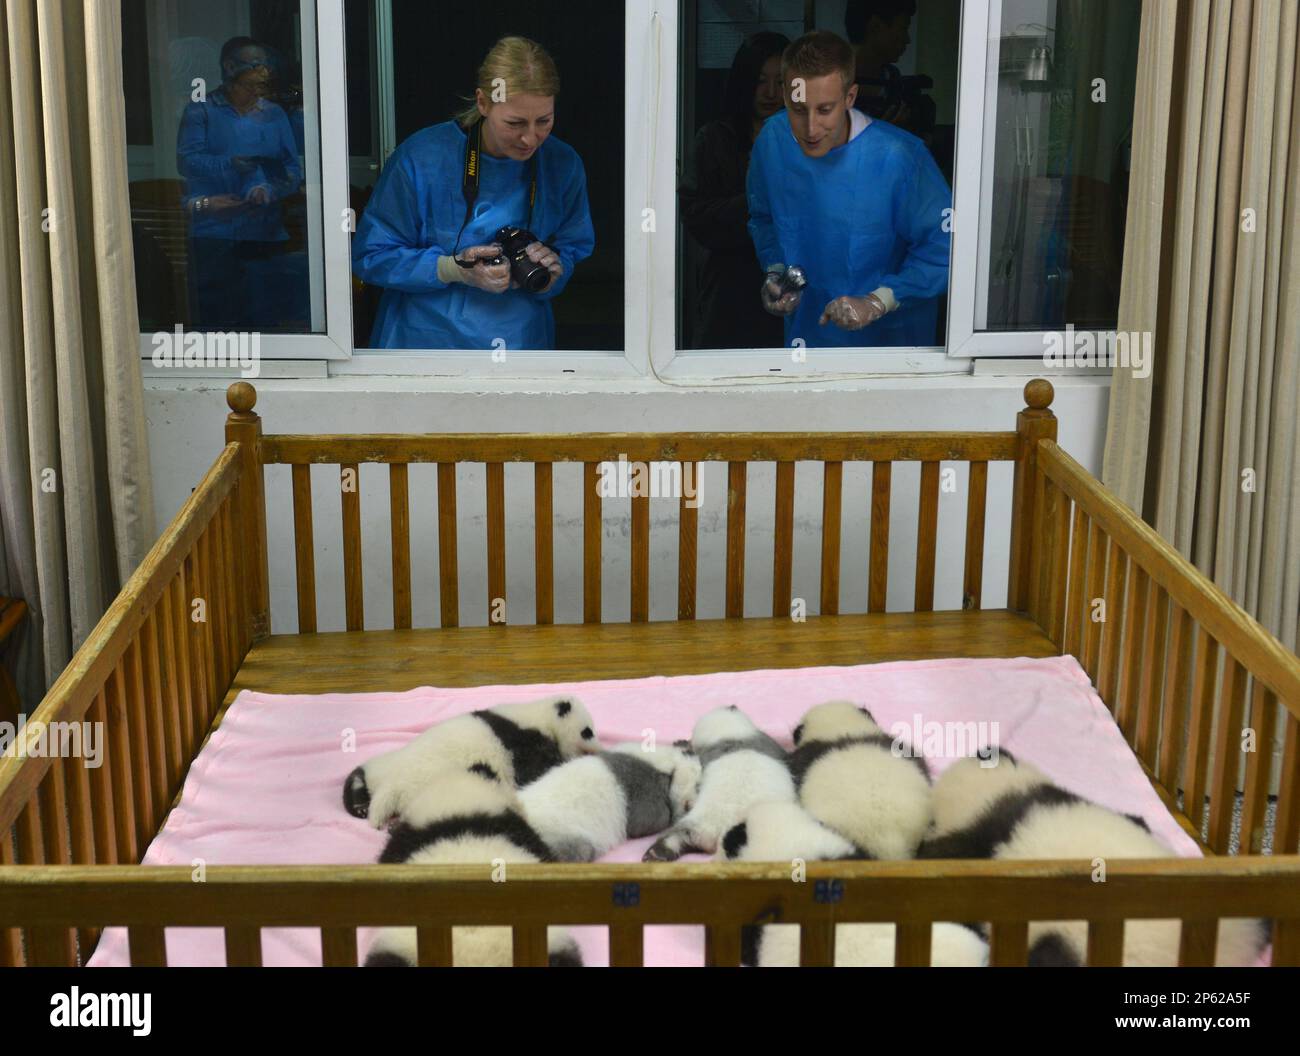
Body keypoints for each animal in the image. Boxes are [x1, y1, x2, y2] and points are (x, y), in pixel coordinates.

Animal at [343, 695, 599, 829]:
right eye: (587, 732)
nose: (598, 748)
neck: (540, 716)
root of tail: (390, 787)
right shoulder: (522, 741)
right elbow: (534, 770)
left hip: (383, 764)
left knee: (359, 775)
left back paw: (359, 804)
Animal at [642, 705, 795, 862]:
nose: (688, 740)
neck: (730, 734)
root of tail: (721, 832)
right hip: (698, 825)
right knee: (681, 835)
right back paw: (657, 853)